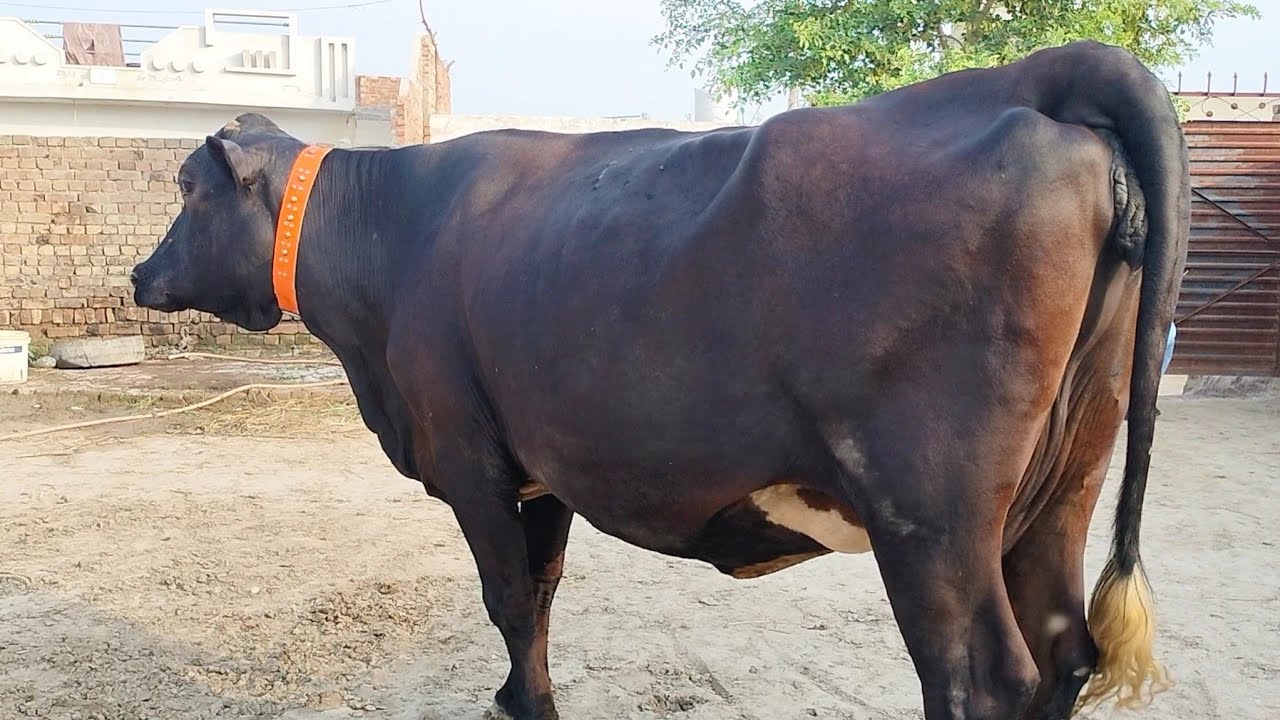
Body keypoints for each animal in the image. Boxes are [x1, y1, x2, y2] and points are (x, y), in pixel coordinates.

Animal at [130, 39, 1189, 720]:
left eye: (185, 188)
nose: (139, 275)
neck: (391, 235)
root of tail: (1032, 73)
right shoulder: (538, 466)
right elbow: (539, 594)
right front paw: (516, 695)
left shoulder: (469, 460)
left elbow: (504, 596)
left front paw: (529, 707)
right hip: (1064, 477)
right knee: (1064, 649)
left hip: (931, 511)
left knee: (979, 677)